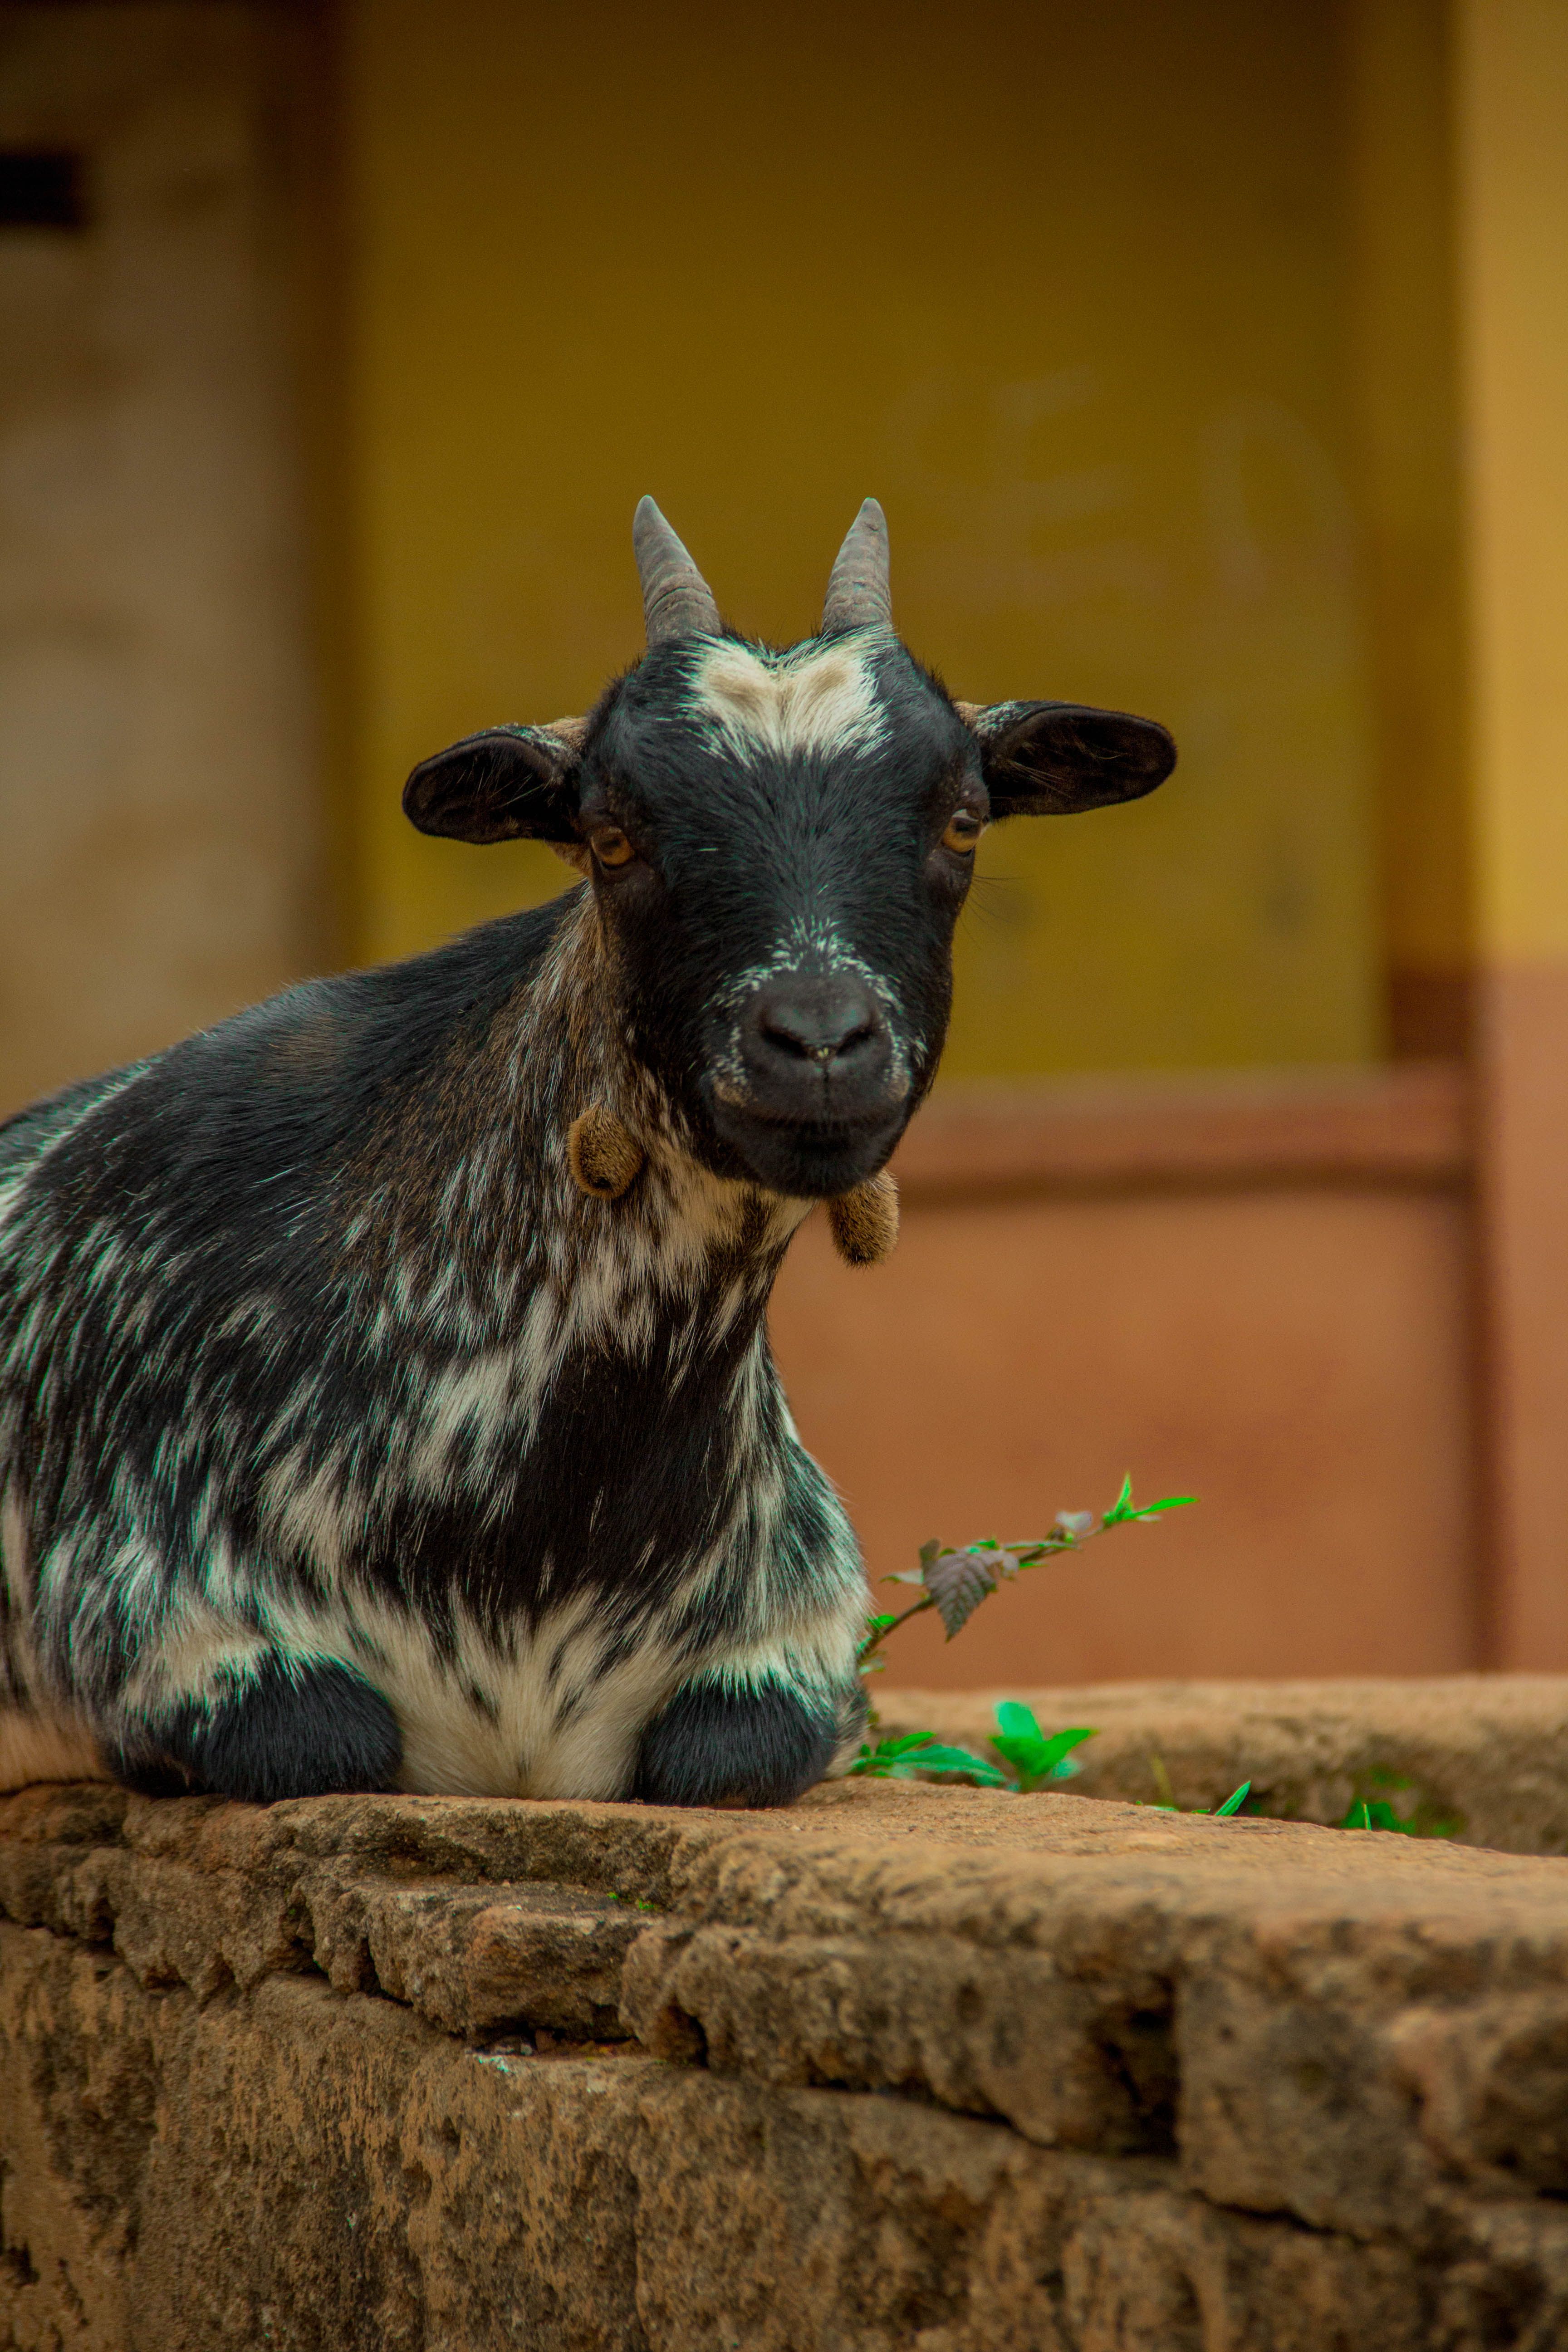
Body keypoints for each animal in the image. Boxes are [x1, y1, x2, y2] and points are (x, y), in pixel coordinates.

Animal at [0, 500, 1175, 1807]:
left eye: (964, 821)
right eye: (612, 837)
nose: (819, 1045)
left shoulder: (791, 1650)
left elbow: (734, 1752)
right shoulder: (154, 1617)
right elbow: (326, 1733)